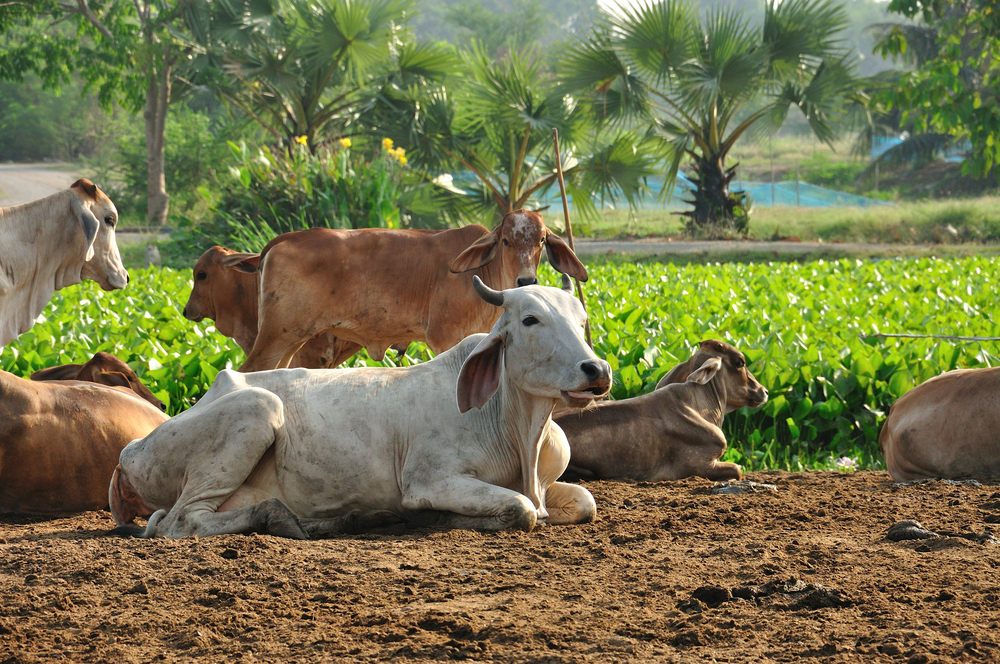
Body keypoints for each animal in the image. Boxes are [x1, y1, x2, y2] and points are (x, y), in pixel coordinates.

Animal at [109, 278, 611, 539]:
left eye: (582, 319)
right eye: (530, 320)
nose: (597, 369)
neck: (519, 429)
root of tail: (131, 450)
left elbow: (583, 502)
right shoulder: (430, 480)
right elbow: (522, 510)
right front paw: (430, 517)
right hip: (255, 408)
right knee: (179, 522)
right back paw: (284, 518)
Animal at [231, 210, 587, 372]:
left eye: (542, 239)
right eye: (506, 241)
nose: (526, 281)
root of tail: (285, 238)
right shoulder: (444, 338)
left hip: (291, 339)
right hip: (276, 335)